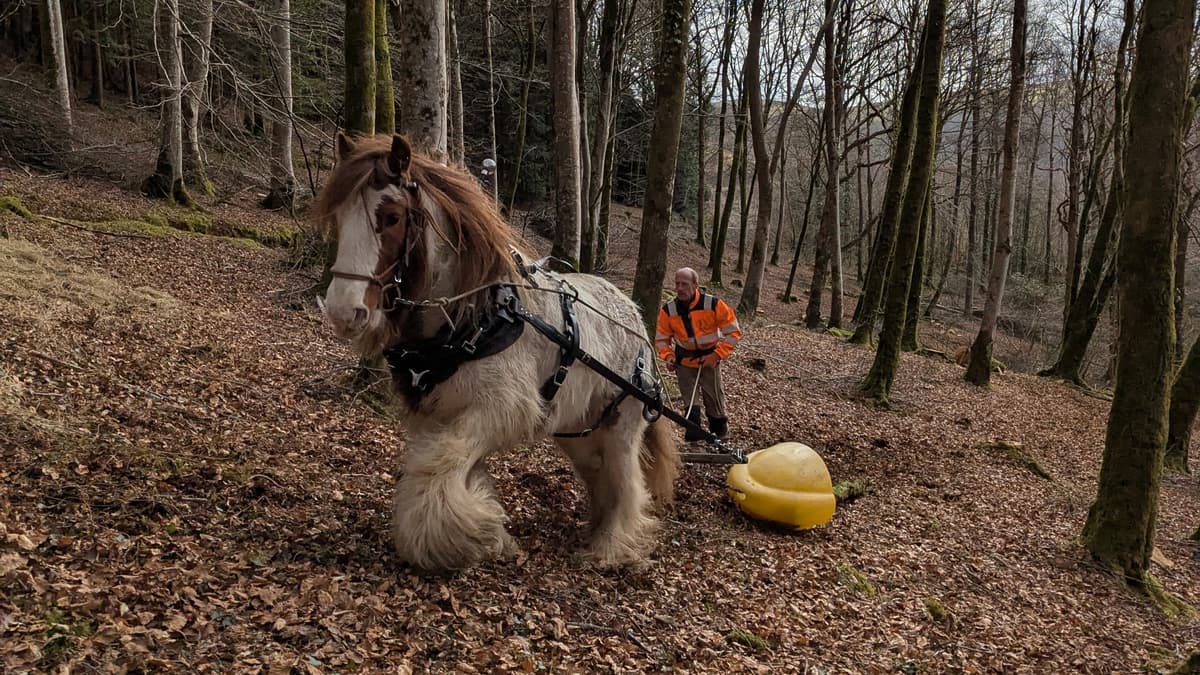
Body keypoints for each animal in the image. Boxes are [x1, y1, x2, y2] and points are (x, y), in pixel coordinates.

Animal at [314, 132, 679, 571]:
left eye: (392, 217)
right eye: (339, 217)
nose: (342, 310)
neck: (474, 316)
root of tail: (636, 318)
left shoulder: (500, 409)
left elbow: (438, 464)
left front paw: (461, 535)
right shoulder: (434, 415)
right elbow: (449, 464)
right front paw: (485, 531)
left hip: (622, 423)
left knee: (627, 480)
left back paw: (612, 545)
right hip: (578, 428)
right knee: (599, 471)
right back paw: (596, 528)